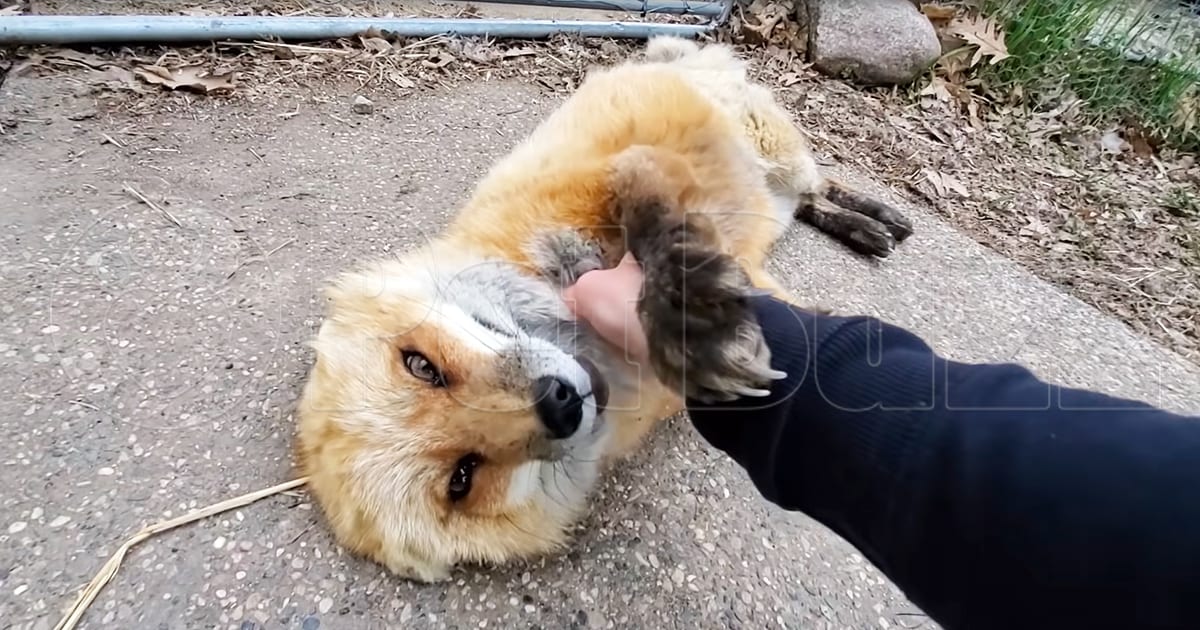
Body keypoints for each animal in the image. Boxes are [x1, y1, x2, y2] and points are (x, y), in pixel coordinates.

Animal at [293, 35, 913, 583]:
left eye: (422, 365)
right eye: (462, 479)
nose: (558, 403)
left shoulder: (634, 170)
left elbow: (660, 229)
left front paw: (694, 324)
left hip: (774, 153)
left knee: (818, 182)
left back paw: (878, 220)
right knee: (807, 200)